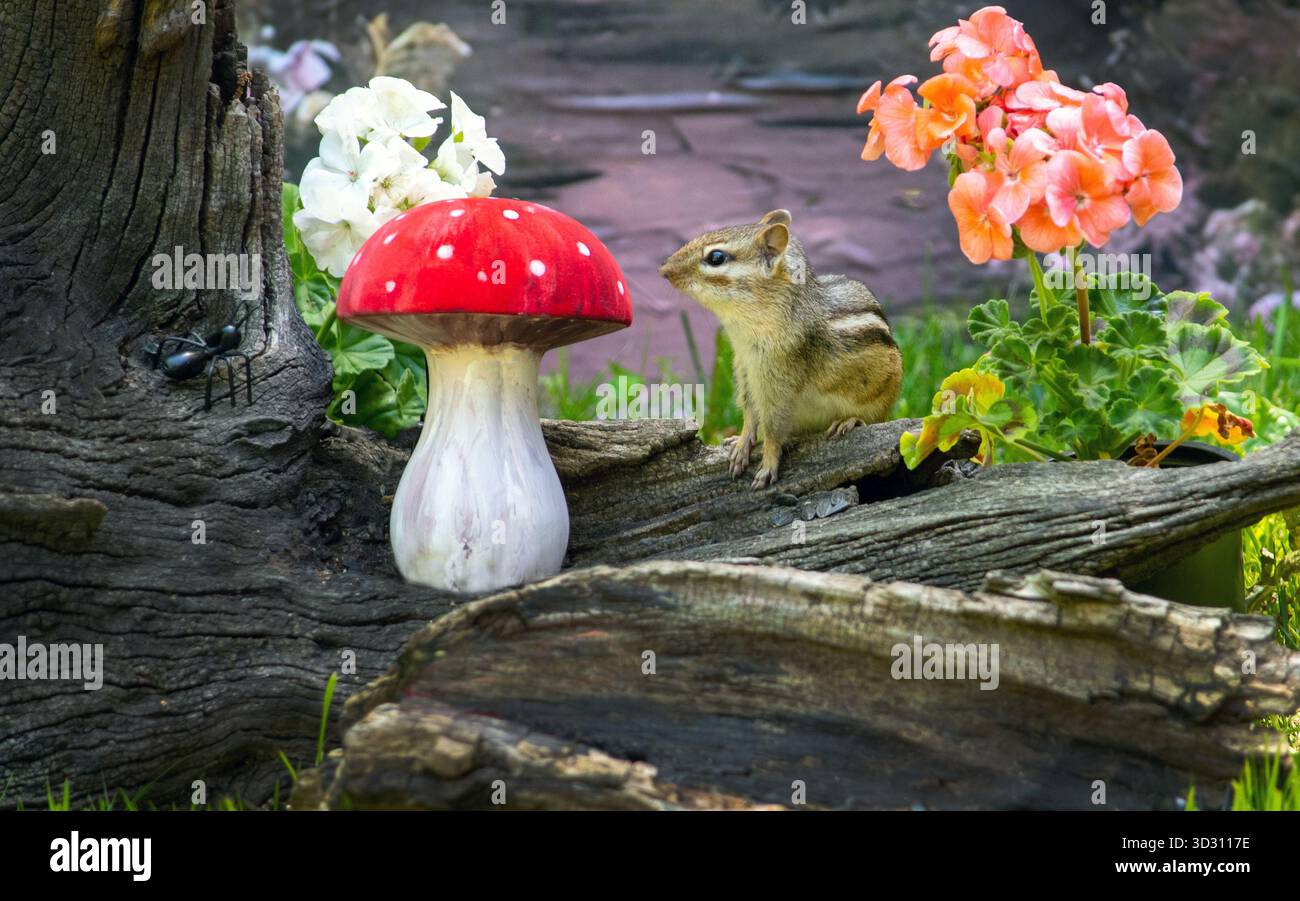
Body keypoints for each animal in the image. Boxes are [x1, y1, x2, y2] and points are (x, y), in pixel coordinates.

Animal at [659, 209, 902, 489]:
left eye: (716, 257)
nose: (664, 269)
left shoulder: (777, 379)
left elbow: (773, 428)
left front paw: (767, 465)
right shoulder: (745, 370)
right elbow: (750, 413)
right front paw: (742, 443)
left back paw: (849, 420)